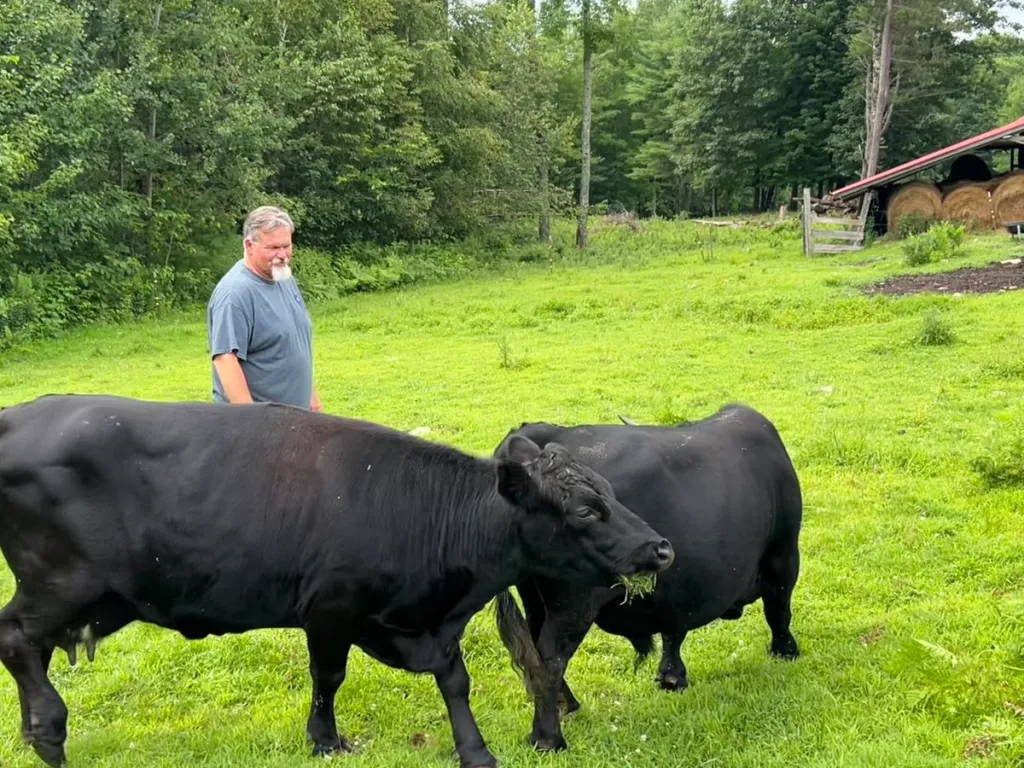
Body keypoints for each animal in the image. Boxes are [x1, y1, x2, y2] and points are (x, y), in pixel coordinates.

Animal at [0, 394, 675, 768]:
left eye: (610, 492)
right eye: (585, 511)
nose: (659, 547)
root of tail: (21, 413)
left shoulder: (434, 622)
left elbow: (455, 681)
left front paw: (475, 750)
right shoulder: (329, 610)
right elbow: (328, 677)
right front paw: (324, 740)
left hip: (100, 597)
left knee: (29, 647)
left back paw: (36, 729)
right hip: (58, 582)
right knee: (14, 637)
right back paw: (48, 732)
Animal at [492, 403, 802, 753]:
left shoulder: (679, 588)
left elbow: (674, 629)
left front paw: (671, 677)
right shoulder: (783, 555)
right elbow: (779, 610)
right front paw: (786, 651)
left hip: (534, 598)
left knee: (535, 647)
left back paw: (566, 704)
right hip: (572, 607)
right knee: (551, 656)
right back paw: (548, 737)